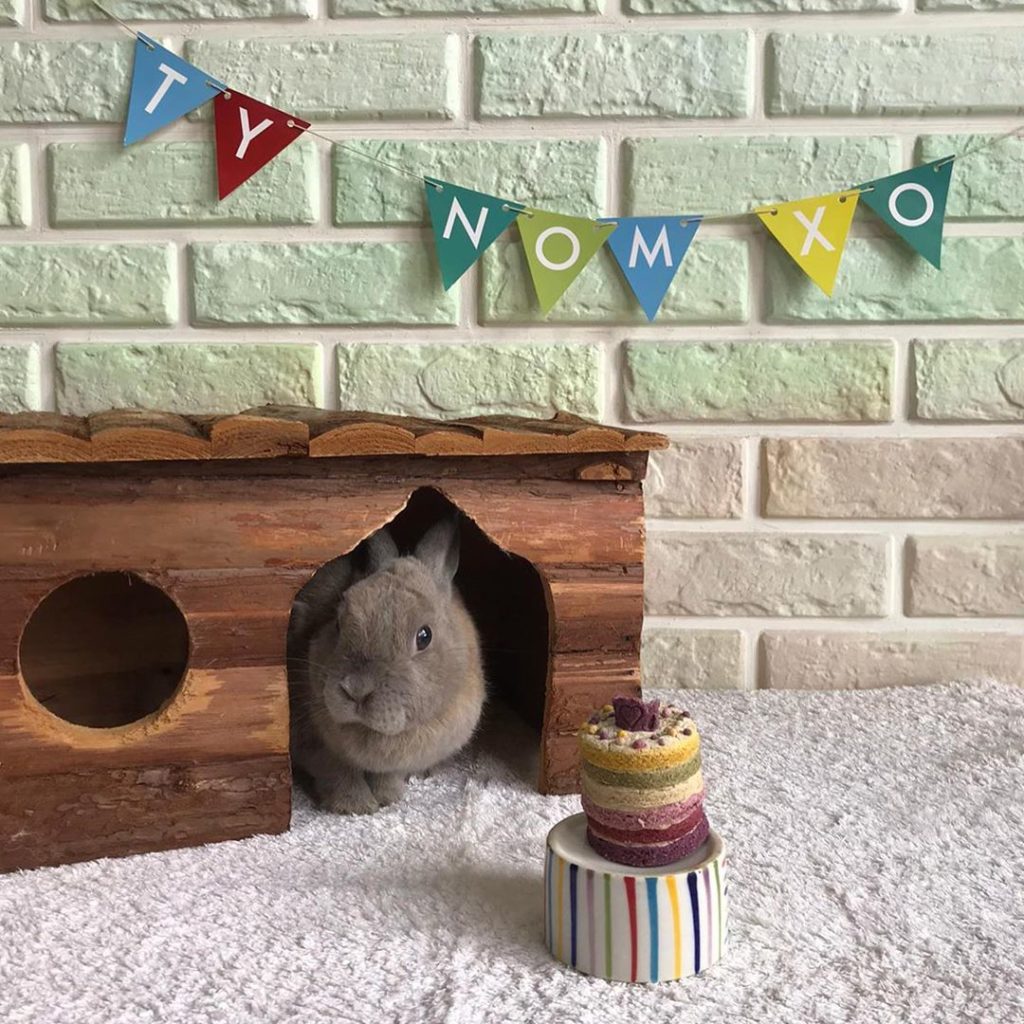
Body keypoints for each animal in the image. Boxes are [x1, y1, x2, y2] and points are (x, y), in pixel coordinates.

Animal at [287, 515, 486, 815]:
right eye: (338, 623)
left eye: (424, 636)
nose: (356, 690)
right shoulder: (315, 747)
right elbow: (338, 772)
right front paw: (357, 806)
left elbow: (388, 775)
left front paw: (388, 798)